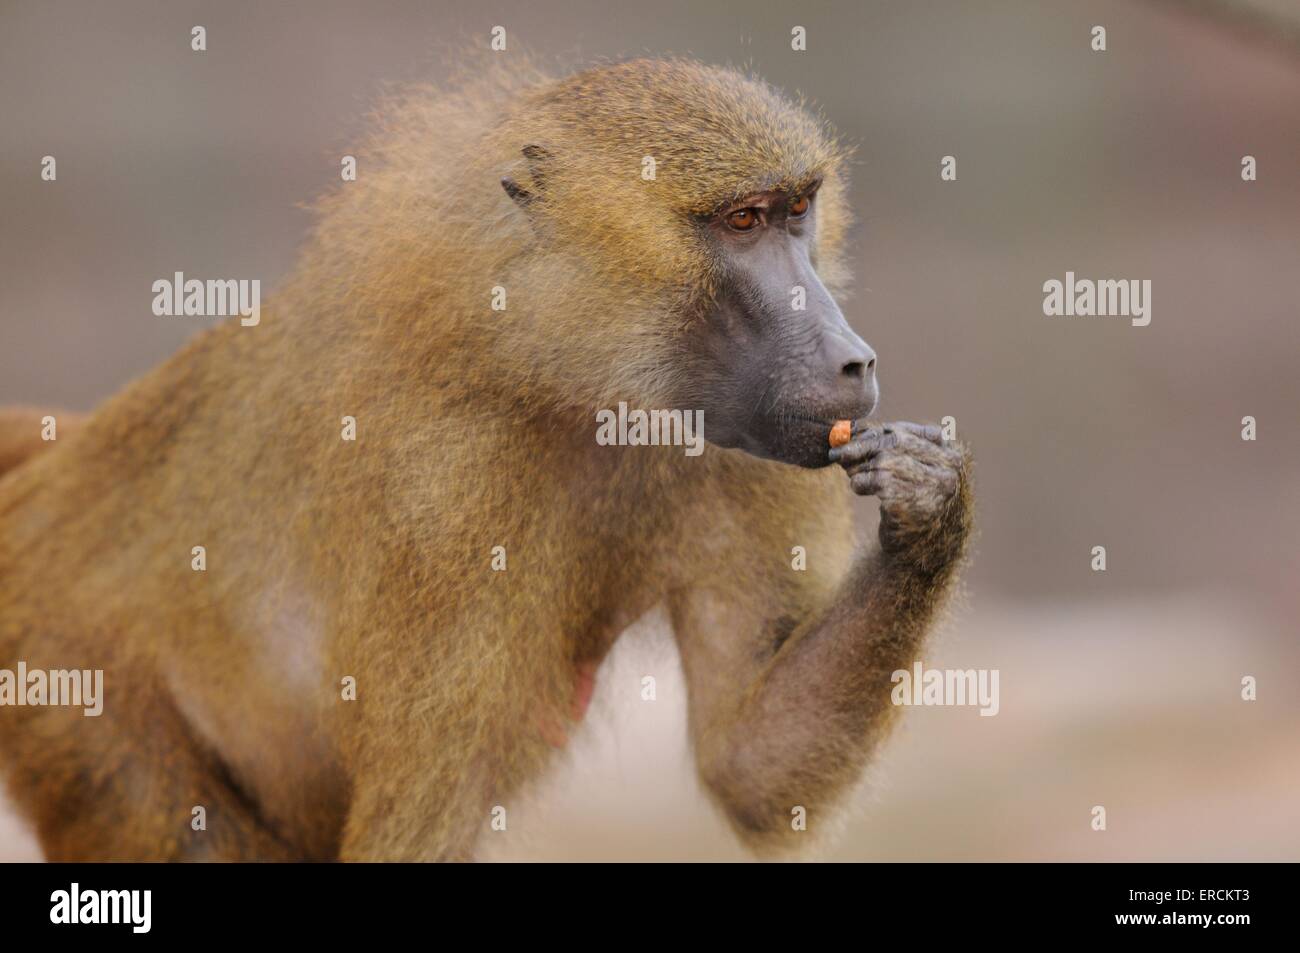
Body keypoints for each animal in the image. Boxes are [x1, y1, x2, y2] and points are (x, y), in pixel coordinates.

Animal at [0, 56, 972, 861]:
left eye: (797, 212)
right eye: (741, 221)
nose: (853, 361)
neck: (560, 379)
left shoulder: (742, 447)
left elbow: (752, 765)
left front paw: (927, 504)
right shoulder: (445, 498)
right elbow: (418, 827)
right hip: (68, 689)